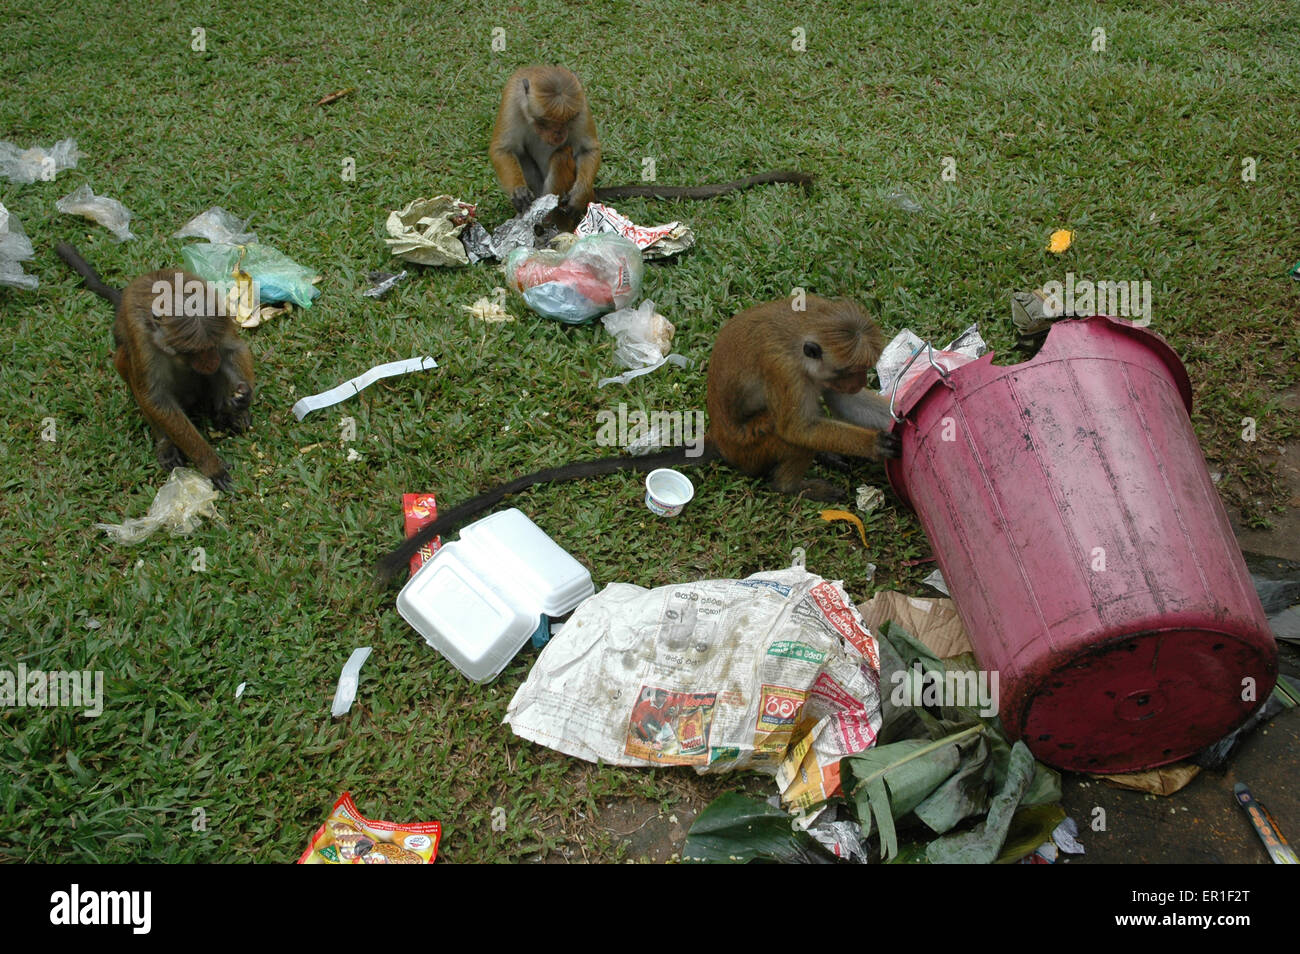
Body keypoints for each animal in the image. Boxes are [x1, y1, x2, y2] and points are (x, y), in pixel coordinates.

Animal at [55, 242, 254, 491]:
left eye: (210, 347)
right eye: (193, 352)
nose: (210, 361)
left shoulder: (220, 317)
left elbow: (233, 350)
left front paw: (244, 397)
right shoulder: (142, 340)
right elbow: (154, 397)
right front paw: (210, 464)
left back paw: (224, 413)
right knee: (126, 362)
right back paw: (167, 441)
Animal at [376, 295, 896, 582]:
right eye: (850, 370)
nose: (857, 381)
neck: (802, 330)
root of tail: (722, 441)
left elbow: (840, 408)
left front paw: (893, 427)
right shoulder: (785, 368)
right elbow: (796, 427)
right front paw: (875, 444)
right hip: (752, 446)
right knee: (781, 431)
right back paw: (790, 484)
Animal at [490, 66, 813, 230]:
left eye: (565, 122)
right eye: (544, 122)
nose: (557, 135)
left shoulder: (579, 103)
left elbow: (587, 149)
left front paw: (577, 195)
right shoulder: (512, 97)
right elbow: (503, 149)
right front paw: (517, 191)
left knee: (563, 156)